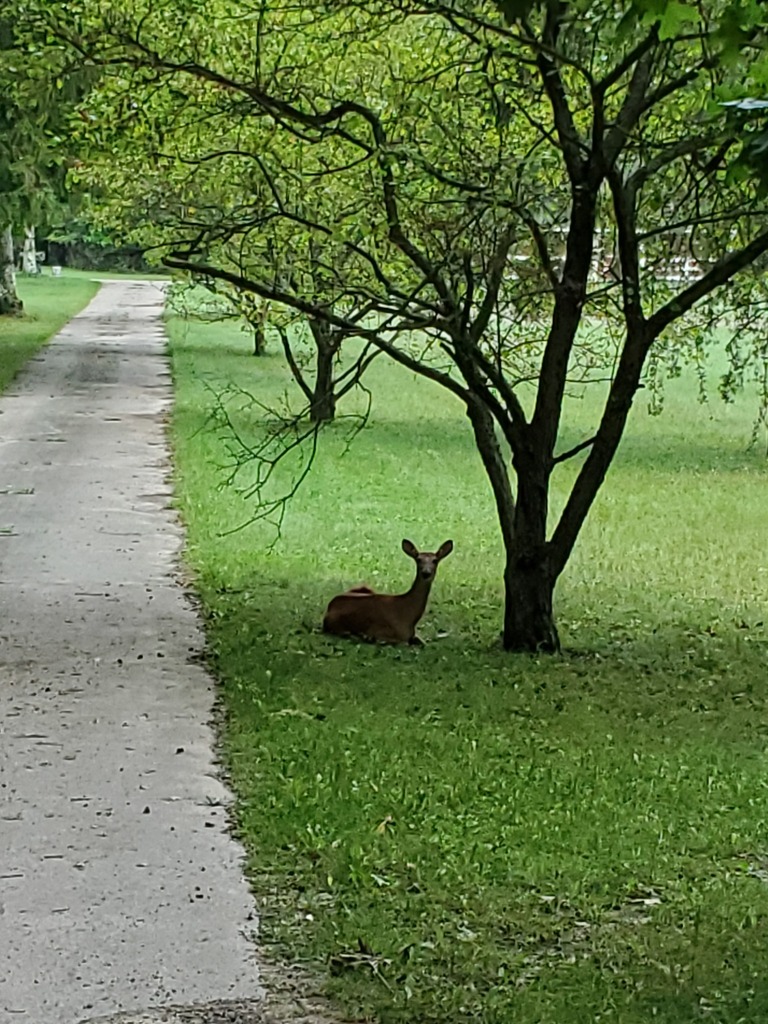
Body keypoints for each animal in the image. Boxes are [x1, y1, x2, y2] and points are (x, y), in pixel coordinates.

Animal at [322, 539, 453, 645]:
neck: (408, 615)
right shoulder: (381, 632)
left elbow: (424, 643)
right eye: (418, 559)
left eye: (435, 560)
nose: (426, 573)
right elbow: (403, 643)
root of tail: (330, 604)